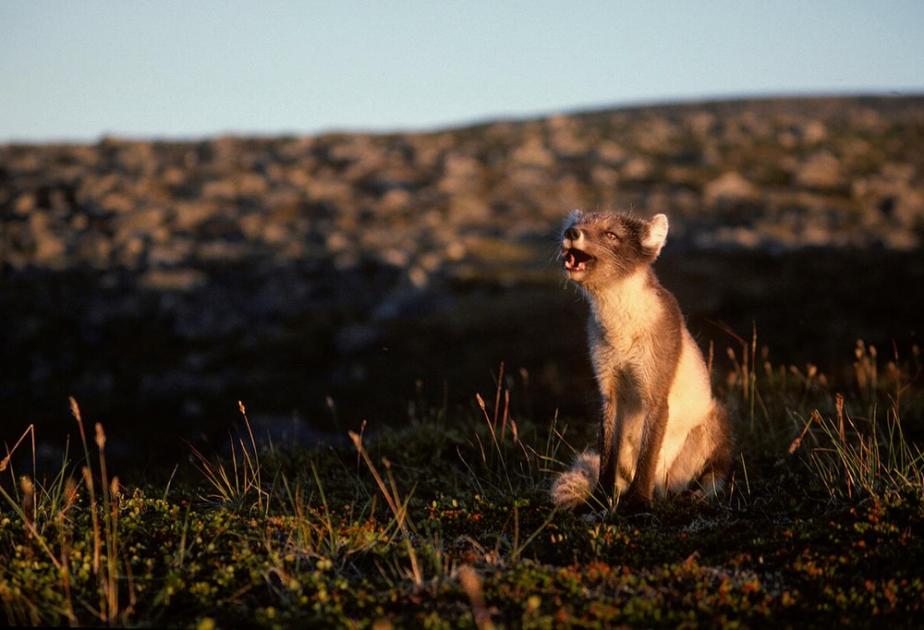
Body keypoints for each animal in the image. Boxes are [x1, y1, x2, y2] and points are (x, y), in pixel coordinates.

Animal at [551, 210, 732, 510]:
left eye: (611, 235)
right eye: (574, 225)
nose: (570, 233)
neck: (621, 331)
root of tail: (664, 487)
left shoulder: (656, 393)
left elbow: (647, 457)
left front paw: (637, 503)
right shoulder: (609, 391)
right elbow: (606, 458)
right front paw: (601, 498)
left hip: (715, 419)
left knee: (712, 476)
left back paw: (692, 495)